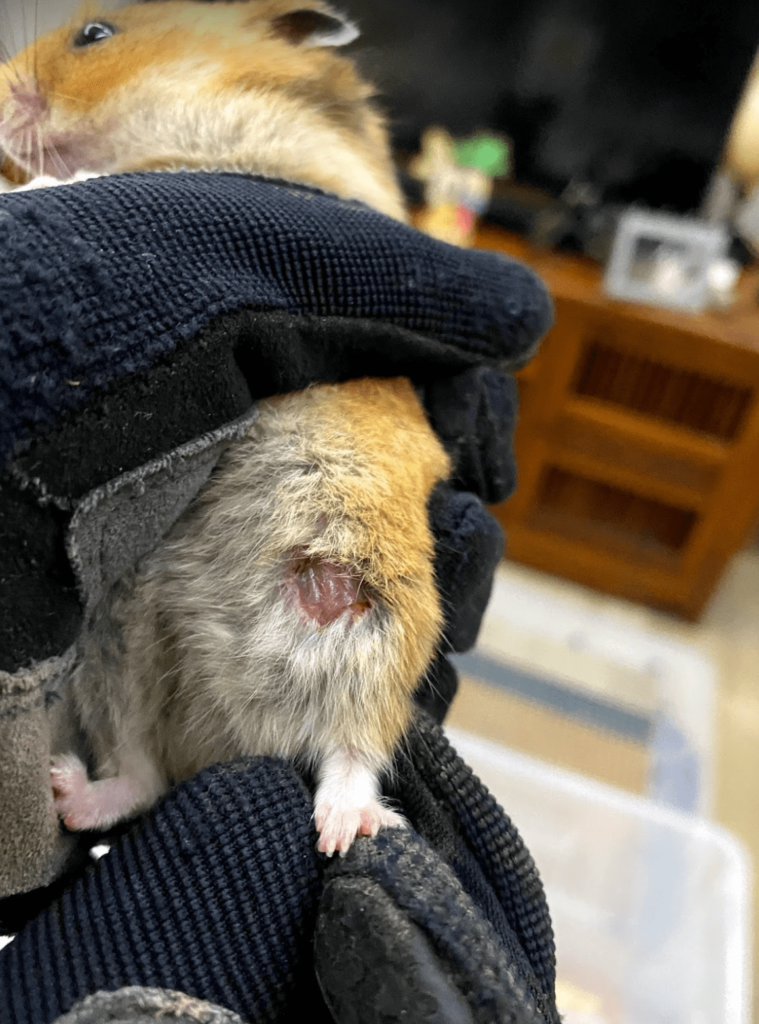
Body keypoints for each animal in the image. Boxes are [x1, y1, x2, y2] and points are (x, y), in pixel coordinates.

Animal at [0, 1, 452, 856]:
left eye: (93, 34)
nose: (2, 90)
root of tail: (233, 735)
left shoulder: (229, 156)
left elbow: (119, 171)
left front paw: (36, 179)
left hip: (381, 628)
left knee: (353, 754)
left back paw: (344, 832)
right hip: (122, 650)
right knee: (142, 778)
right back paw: (72, 792)